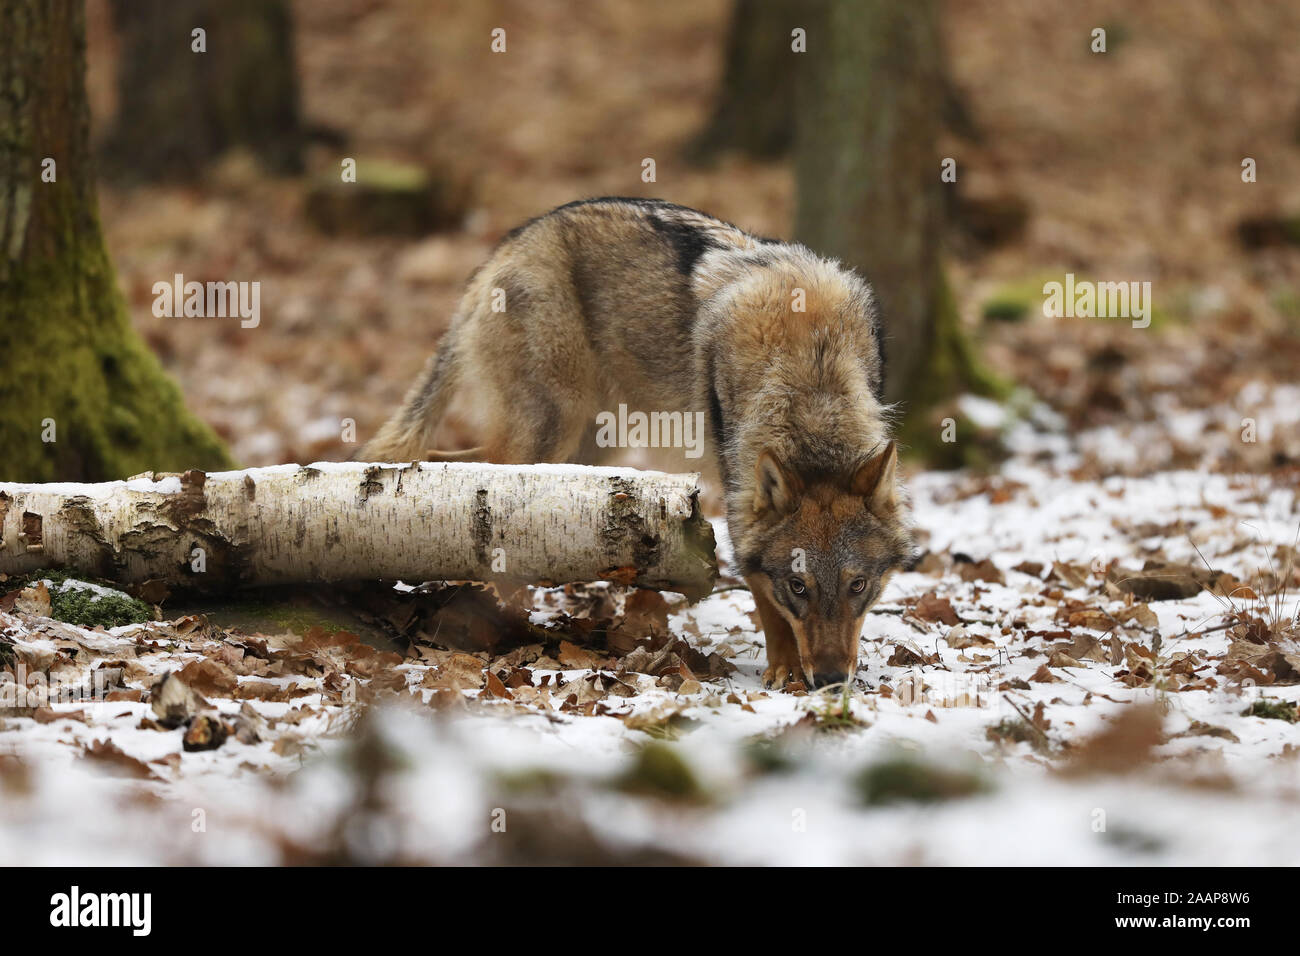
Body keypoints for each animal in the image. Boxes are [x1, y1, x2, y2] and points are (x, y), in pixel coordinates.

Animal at [364, 198, 916, 689]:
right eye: (798, 586)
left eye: (858, 585)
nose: (831, 681)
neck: (812, 369)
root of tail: (509, 243)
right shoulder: (739, 487)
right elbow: (765, 599)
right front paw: (783, 670)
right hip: (550, 435)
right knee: (481, 493)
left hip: (583, 451)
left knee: (450, 469)